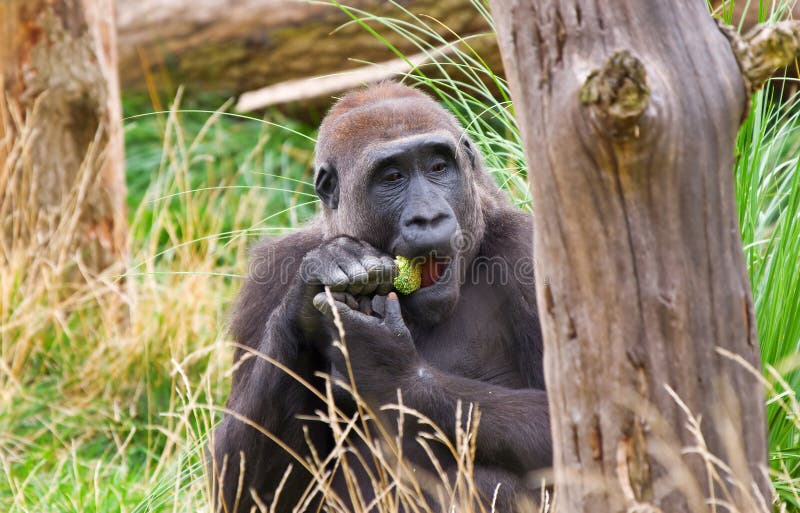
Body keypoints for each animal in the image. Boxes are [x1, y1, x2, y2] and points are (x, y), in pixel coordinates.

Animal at [211, 82, 551, 513]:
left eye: (438, 168)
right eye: (393, 176)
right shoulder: (267, 275)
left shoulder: (529, 251)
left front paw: (387, 366)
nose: (428, 217)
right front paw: (311, 288)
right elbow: (241, 485)